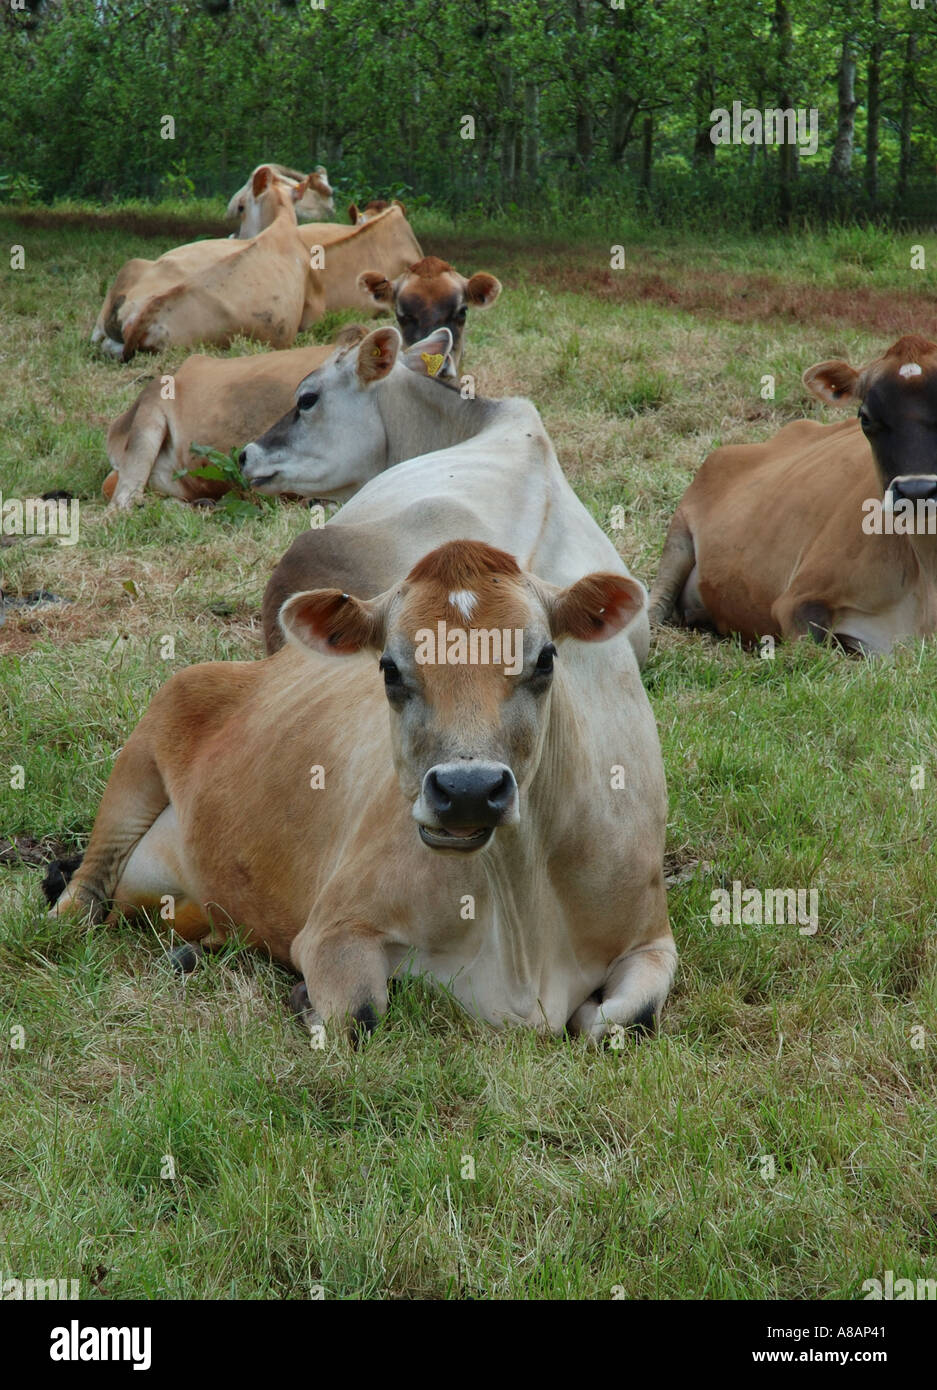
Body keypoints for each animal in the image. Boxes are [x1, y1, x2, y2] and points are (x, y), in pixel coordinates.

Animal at [48, 539, 673, 1043]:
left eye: (545, 660)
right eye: (390, 669)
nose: (468, 790)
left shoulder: (651, 937)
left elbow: (623, 1019)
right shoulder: (335, 927)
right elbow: (358, 1016)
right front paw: (306, 1002)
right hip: (147, 744)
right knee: (85, 892)